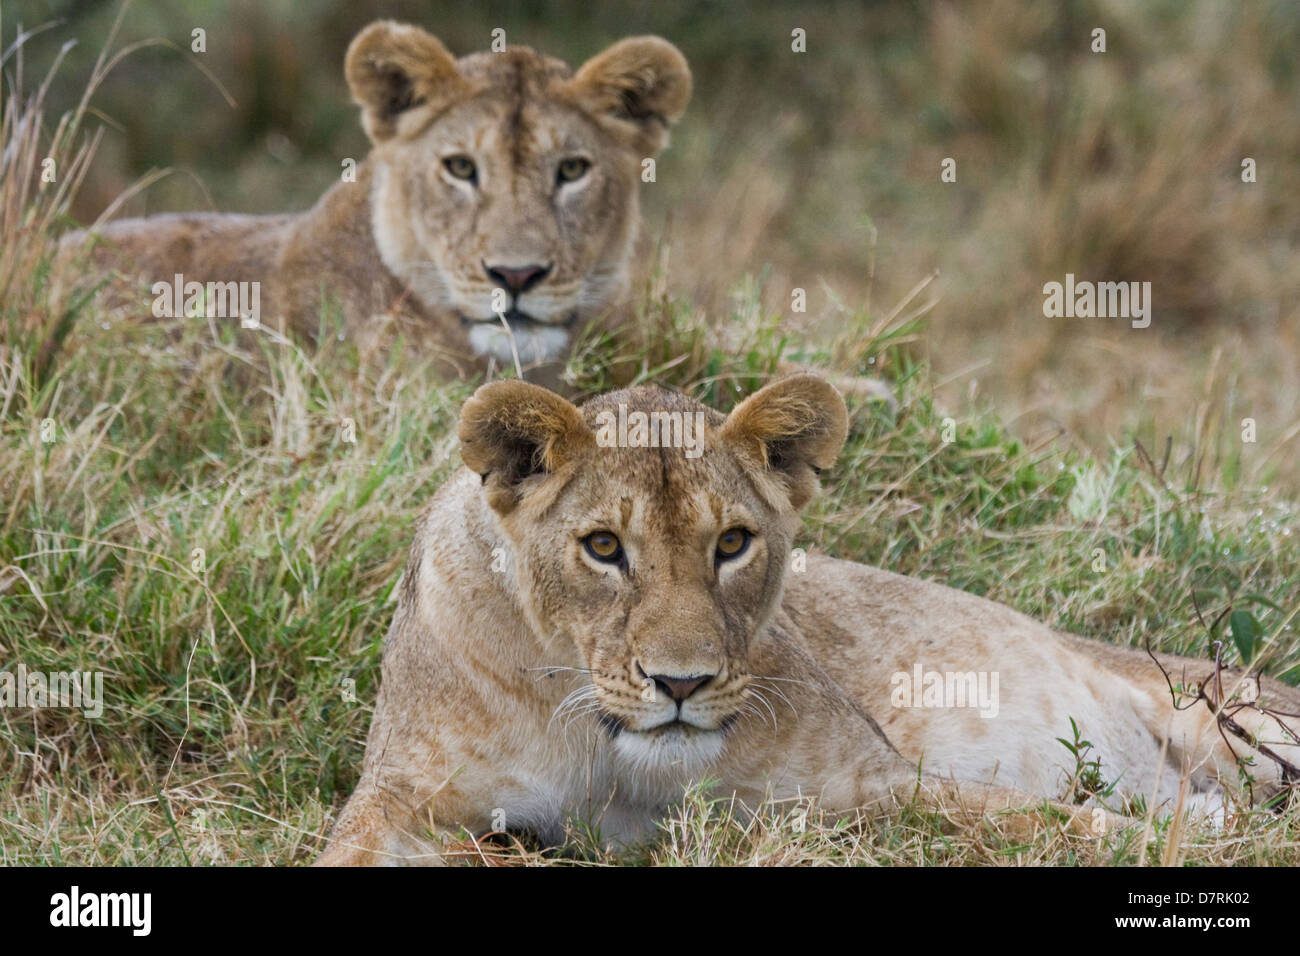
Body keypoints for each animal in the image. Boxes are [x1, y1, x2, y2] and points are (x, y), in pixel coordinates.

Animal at [316, 375, 1300, 865]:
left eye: (733, 543)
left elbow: (1036, 821)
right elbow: (349, 852)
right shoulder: (404, 795)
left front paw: (1183, 837)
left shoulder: (871, 782)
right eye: (602, 547)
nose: (681, 684)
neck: (599, 741)